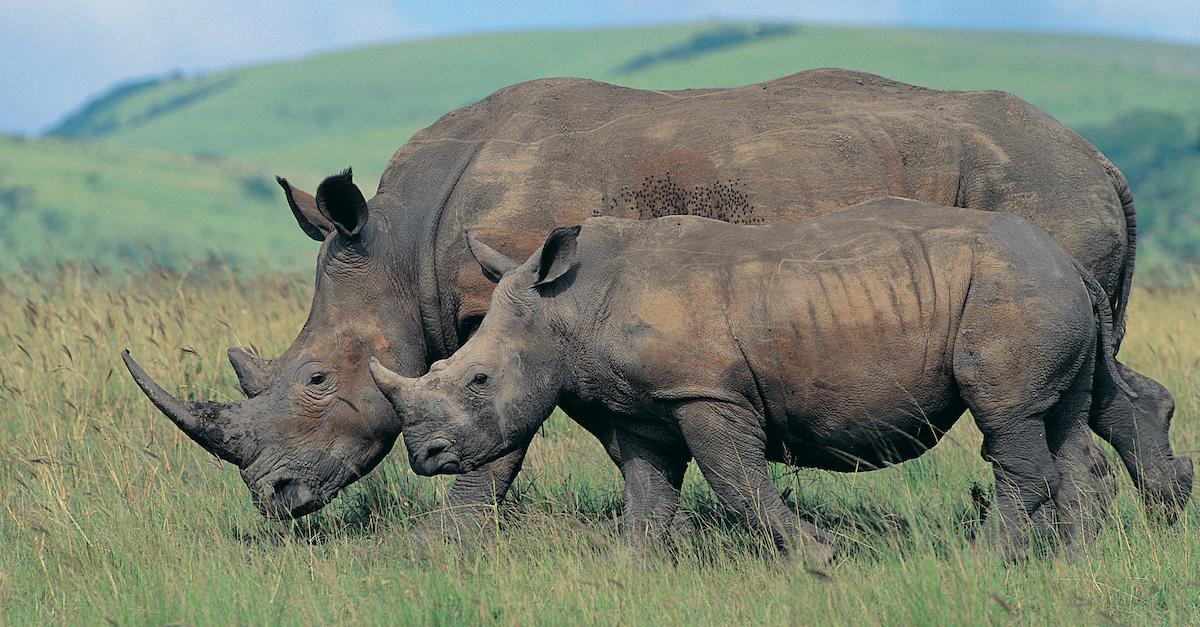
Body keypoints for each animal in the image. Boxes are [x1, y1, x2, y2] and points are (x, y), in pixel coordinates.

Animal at [369, 200, 1129, 559]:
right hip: (1041, 291)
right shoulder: (642, 406)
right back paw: (1074, 561)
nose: (425, 457)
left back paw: (983, 561)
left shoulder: (706, 392)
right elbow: (647, 495)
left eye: (478, 379)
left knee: (1008, 420)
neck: (566, 306)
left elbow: (736, 482)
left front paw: (822, 555)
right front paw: (627, 569)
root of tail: (1068, 261)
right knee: (1061, 422)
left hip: (1014, 291)